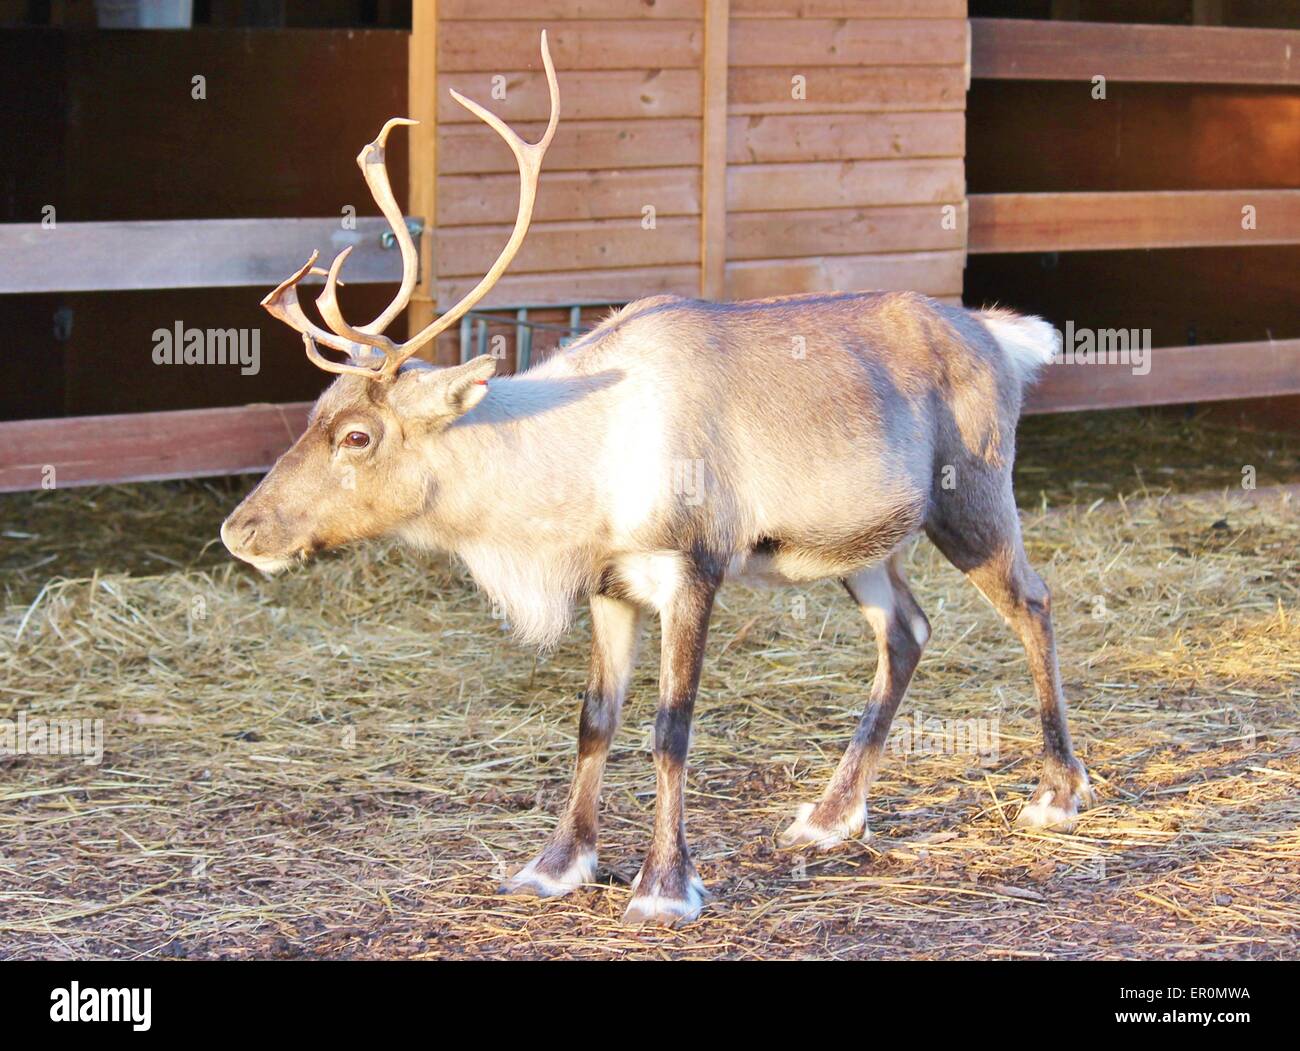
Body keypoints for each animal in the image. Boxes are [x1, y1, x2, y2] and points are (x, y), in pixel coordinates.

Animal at [221, 32, 1093, 927]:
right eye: (316, 408)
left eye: (358, 435)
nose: (240, 530)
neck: (577, 466)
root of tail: (999, 334)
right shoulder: (610, 584)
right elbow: (595, 720)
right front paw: (556, 864)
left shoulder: (691, 567)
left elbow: (671, 726)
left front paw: (665, 885)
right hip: (866, 547)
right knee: (907, 629)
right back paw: (828, 815)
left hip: (973, 499)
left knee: (1033, 602)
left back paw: (1057, 792)